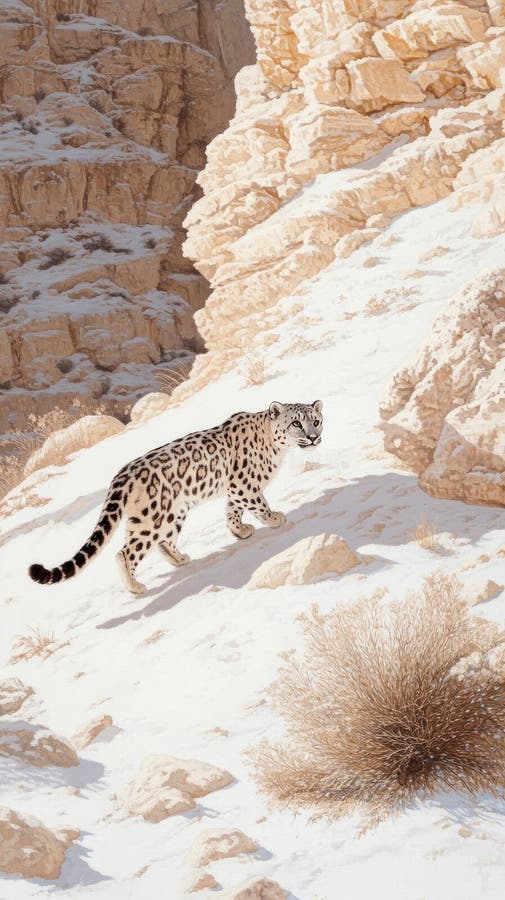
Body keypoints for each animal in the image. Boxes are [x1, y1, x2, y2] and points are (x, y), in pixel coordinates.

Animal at [28, 400, 323, 594]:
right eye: (296, 423)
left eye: (316, 421)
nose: (314, 437)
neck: (277, 447)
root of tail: (121, 477)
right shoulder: (244, 485)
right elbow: (258, 504)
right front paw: (275, 519)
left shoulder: (235, 489)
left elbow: (232, 511)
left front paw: (239, 531)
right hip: (151, 520)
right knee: (125, 552)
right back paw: (136, 586)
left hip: (166, 514)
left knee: (161, 542)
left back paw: (180, 559)